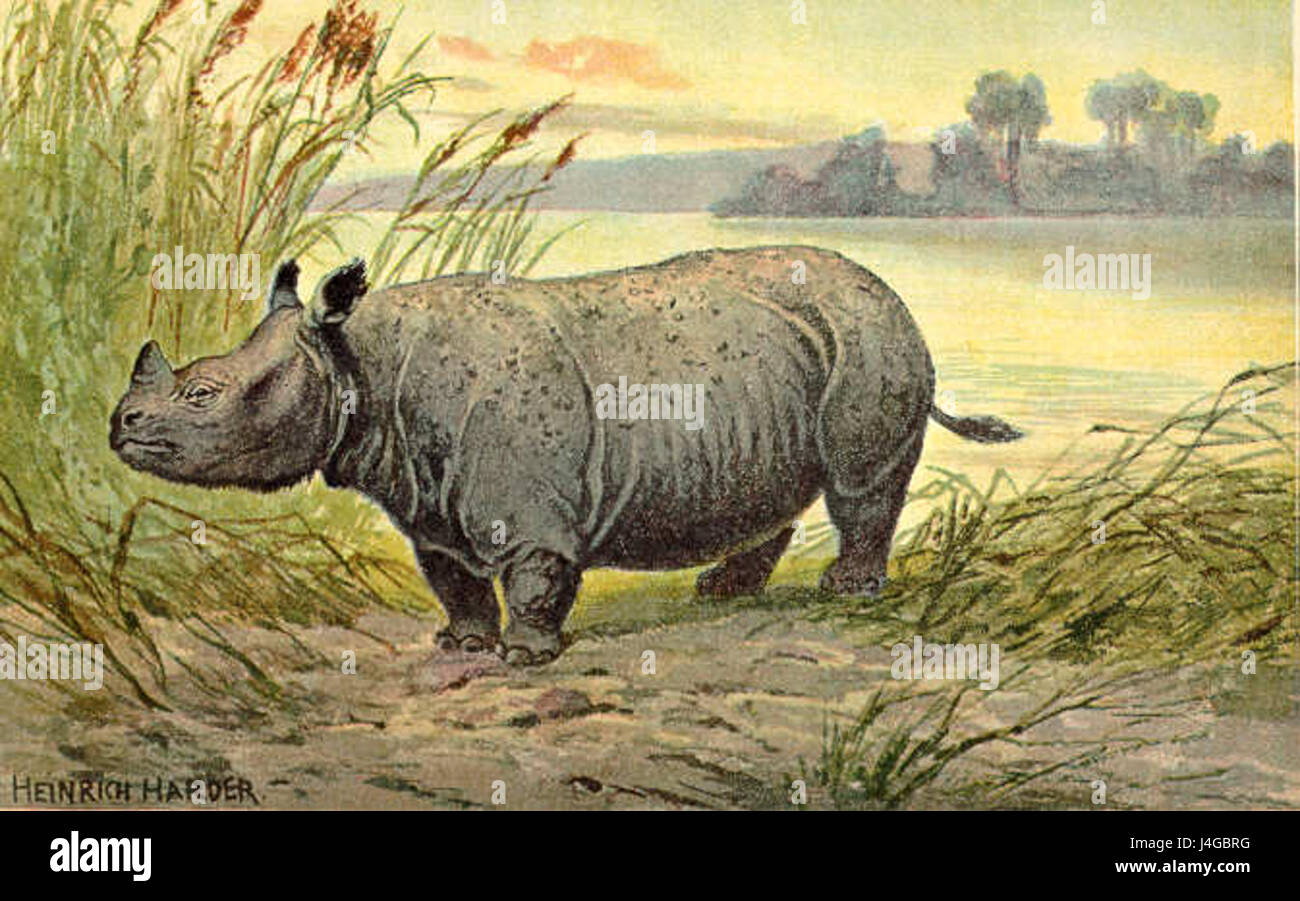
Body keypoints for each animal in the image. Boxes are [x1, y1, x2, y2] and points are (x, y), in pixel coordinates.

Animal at [110, 246, 1021, 665]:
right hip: (798, 355)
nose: (120, 426)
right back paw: (720, 592)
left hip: (872, 336)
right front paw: (462, 645)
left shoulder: (531, 511)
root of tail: (893, 294)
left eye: (204, 394)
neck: (356, 359)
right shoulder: (427, 498)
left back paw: (847, 591)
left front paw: (523, 657)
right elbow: (452, 574)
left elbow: (535, 573)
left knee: (859, 484)